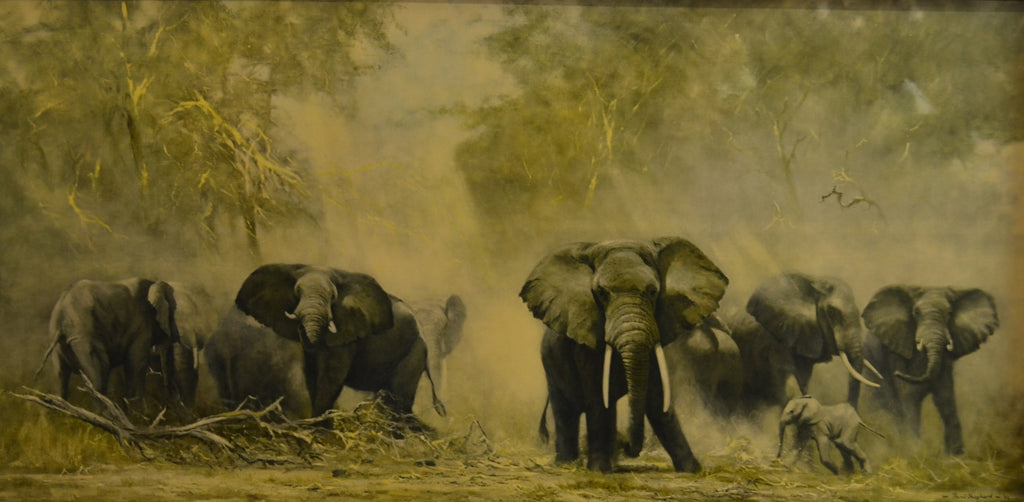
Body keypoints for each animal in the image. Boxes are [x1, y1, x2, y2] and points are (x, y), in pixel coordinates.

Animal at [42, 278, 181, 409]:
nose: (170, 404)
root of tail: (61, 309)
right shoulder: (142, 326)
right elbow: (136, 363)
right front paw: (140, 416)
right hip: (84, 335)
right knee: (100, 374)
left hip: (60, 340)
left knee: (60, 377)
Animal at [204, 264, 440, 425]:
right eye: (297, 292)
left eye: (333, 297)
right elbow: (310, 373)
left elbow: (331, 376)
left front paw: (317, 424)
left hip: (414, 351)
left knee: (400, 397)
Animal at [520, 237, 729, 473]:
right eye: (601, 293)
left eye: (653, 291)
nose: (626, 445)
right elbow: (598, 399)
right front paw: (599, 471)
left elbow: (657, 400)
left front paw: (692, 470)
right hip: (550, 364)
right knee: (567, 411)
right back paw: (568, 464)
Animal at [861, 285, 998, 455]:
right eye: (916, 313)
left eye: (949, 313)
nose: (897, 374)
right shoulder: (897, 350)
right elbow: (909, 395)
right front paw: (915, 451)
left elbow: (945, 397)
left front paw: (955, 455)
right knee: (883, 402)